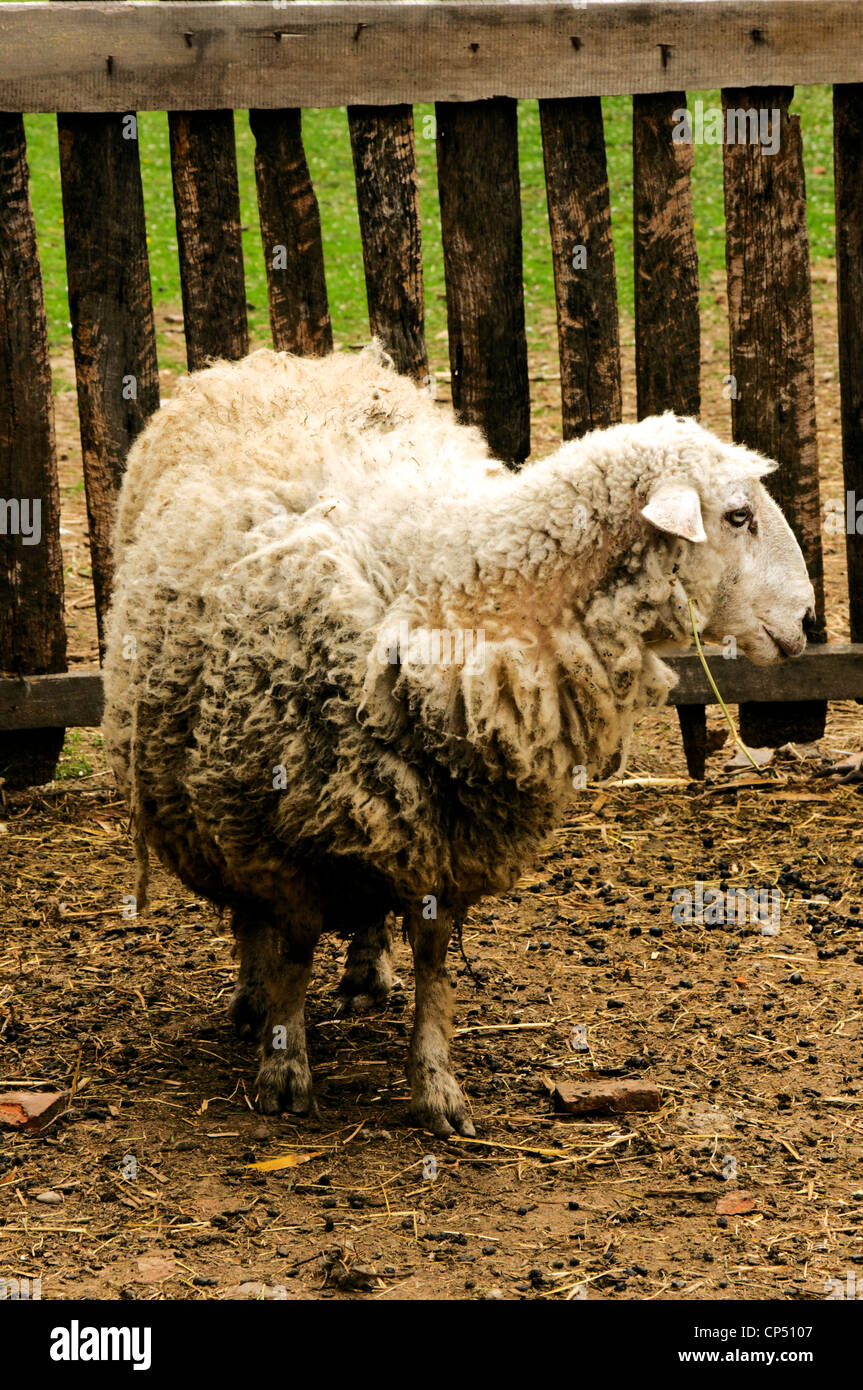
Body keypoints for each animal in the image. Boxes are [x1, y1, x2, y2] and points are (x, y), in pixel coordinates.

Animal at [102, 344, 815, 1137]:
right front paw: (285, 1069)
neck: (460, 583)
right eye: (738, 516)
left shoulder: (451, 829)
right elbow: (293, 946)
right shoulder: (285, 831)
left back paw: (364, 971)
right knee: (253, 918)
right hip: (227, 795)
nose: (807, 620)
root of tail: (280, 358)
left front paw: (437, 1085)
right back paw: (255, 999)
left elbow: (435, 964)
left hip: (374, 809)